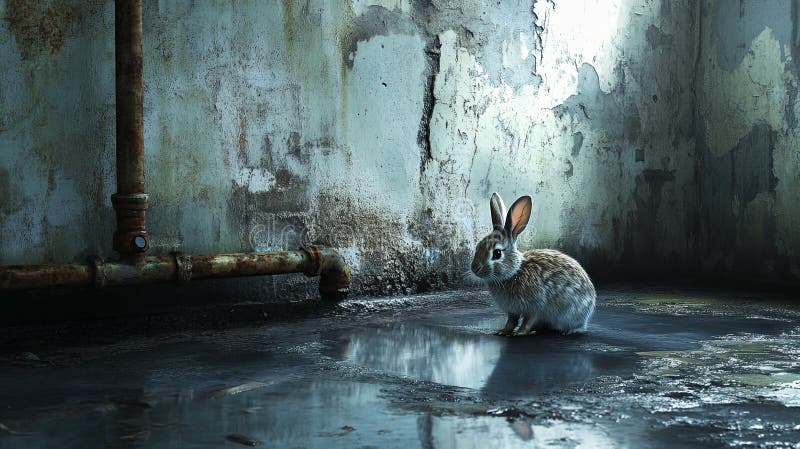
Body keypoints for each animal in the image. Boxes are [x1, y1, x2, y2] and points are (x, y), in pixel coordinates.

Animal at [469, 192, 596, 336]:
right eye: (478, 246)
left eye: (497, 253)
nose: (474, 268)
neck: (514, 272)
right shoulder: (512, 310)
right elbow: (511, 321)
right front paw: (503, 331)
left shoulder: (536, 306)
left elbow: (528, 320)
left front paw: (520, 333)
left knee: (577, 326)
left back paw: (569, 330)